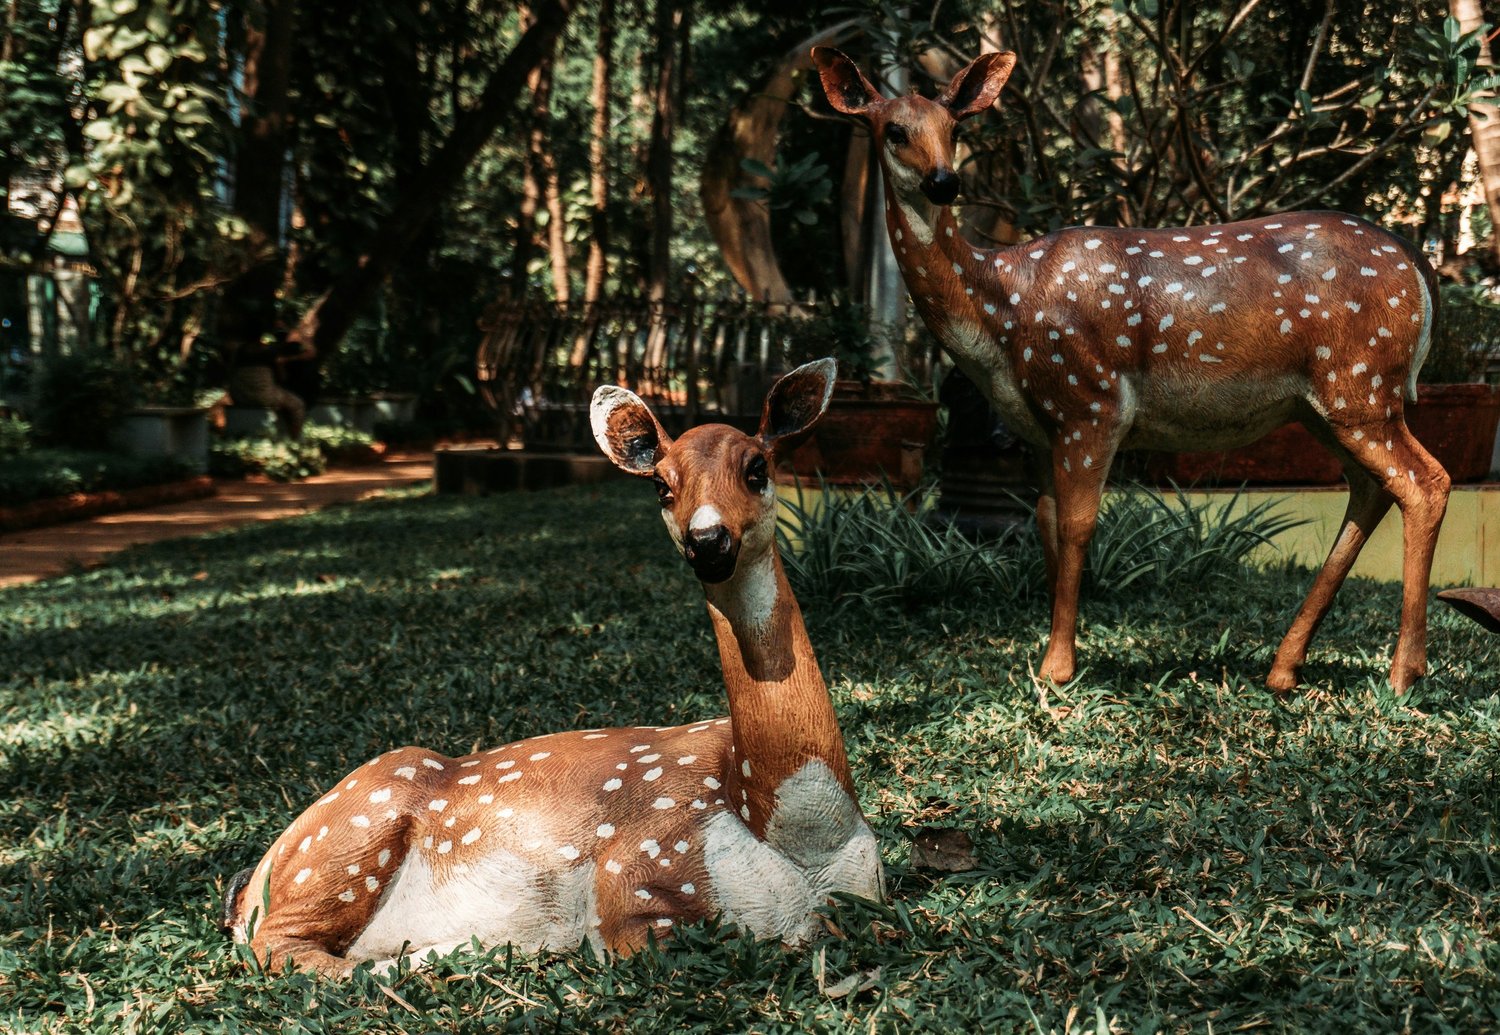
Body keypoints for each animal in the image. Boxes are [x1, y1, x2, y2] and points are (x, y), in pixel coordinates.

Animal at [221, 358, 884, 977]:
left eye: (757, 468)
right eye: (661, 487)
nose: (708, 542)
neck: (797, 832)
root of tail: (252, 881)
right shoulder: (635, 870)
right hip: (353, 831)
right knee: (281, 948)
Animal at [813, 46, 1451, 694]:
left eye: (955, 129)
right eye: (894, 130)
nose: (945, 182)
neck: (1001, 308)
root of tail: (1419, 268)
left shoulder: (1090, 401)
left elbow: (1078, 525)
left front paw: (1057, 669)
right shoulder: (1039, 430)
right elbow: (1044, 523)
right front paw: (1055, 656)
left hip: (1360, 382)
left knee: (1426, 481)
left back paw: (1404, 672)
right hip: (1326, 404)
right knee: (1371, 490)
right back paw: (1285, 667)